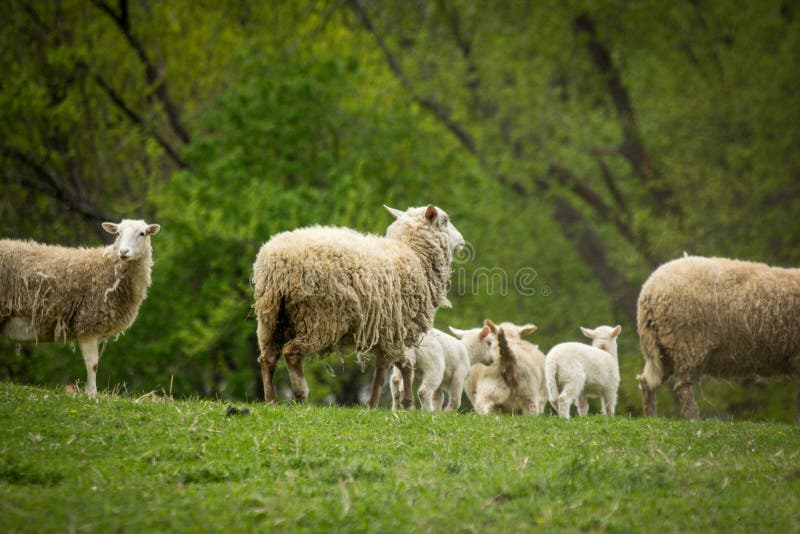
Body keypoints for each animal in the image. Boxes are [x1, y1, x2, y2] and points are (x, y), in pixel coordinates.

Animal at [0, 220, 161, 397]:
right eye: (118, 233)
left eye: (142, 233)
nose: (123, 252)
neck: (108, 267)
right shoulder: (88, 322)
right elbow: (93, 364)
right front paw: (91, 394)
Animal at [252, 204, 464, 408]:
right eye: (445, 220)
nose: (462, 241)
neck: (413, 254)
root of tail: (277, 262)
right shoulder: (395, 329)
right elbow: (387, 370)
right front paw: (378, 404)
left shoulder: (389, 330)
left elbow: (402, 365)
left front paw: (402, 402)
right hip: (318, 318)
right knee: (291, 352)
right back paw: (300, 396)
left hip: (272, 319)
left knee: (268, 358)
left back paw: (271, 401)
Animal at [637, 255, 800, 422]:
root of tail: (649, 291)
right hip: (687, 343)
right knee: (683, 386)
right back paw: (693, 419)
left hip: (662, 347)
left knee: (646, 381)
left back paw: (650, 417)